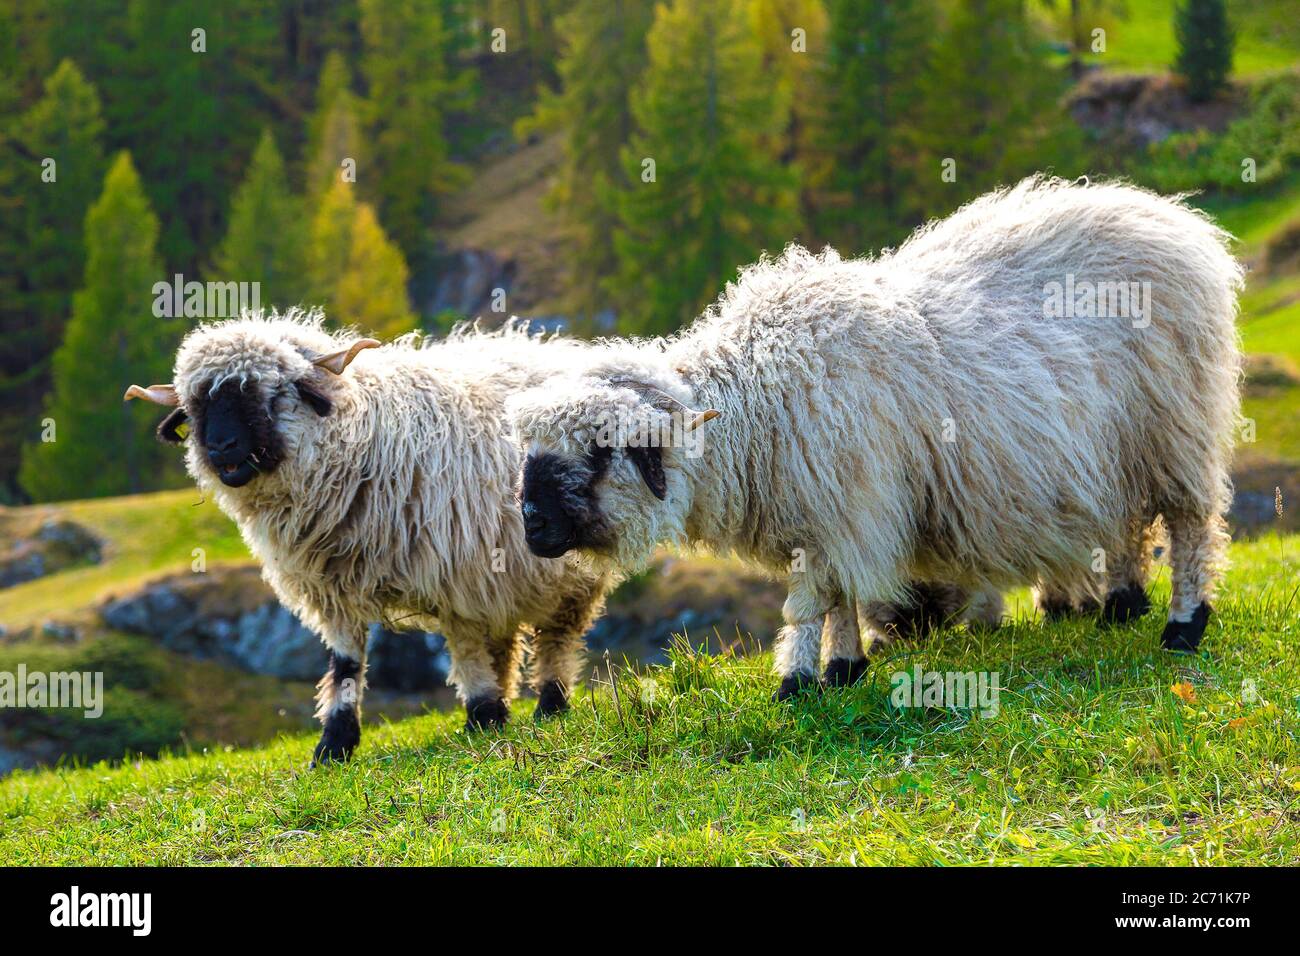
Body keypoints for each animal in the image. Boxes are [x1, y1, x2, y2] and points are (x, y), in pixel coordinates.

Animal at [125, 309, 614, 764]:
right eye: (195, 406)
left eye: (269, 393)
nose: (221, 448)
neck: (361, 439)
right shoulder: (332, 585)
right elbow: (345, 663)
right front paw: (334, 744)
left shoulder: (457, 569)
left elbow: (465, 645)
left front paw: (482, 714)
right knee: (507, 638)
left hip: (565, 574)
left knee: (557, 636)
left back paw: (550, 703)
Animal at [508, 176, 1243, 699]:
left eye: (600, 452)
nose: (531, 524)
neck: (751, 404)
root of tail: (1174, 219)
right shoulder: (822, 513)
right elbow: (839, 597)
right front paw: (842, 667)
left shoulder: (847, 502)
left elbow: (814, 600)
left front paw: (799, 682)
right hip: (1118, 449)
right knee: (1128, 522)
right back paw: (1122, 606)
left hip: (1176, 426)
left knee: (1189, 525)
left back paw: (1183, 626)